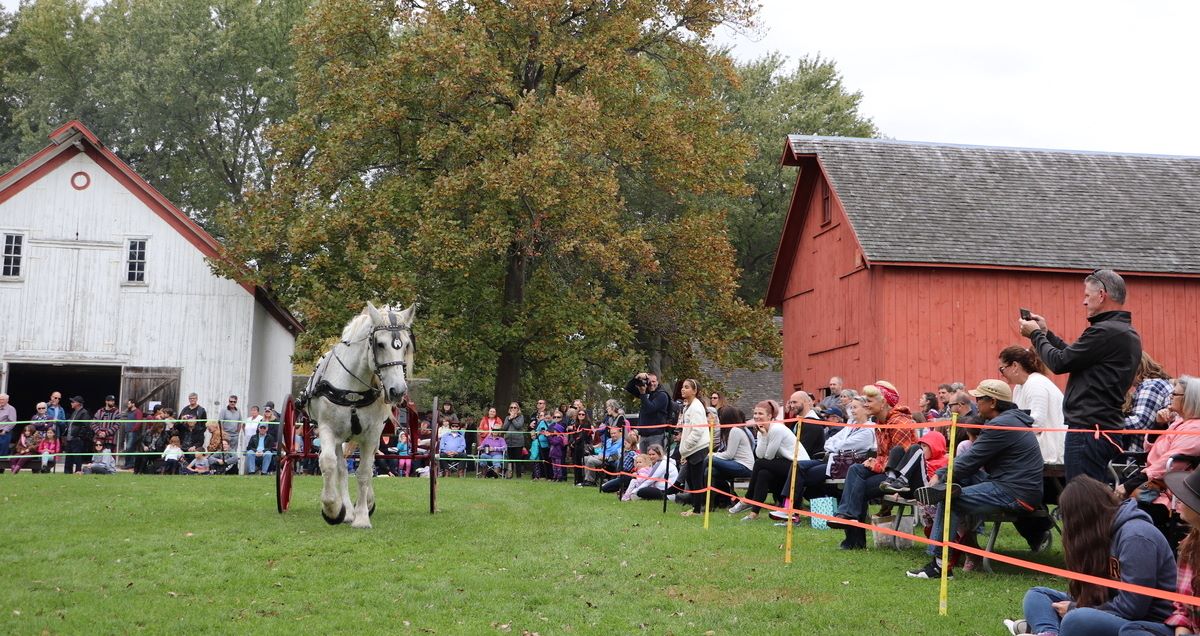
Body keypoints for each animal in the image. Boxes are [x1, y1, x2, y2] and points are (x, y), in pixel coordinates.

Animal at [299, 302, 415, 529]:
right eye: (380, 344)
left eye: (406, 345)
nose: (397, 391)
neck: (352, 389)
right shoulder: (327, 429)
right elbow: (329, 464)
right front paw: (333, 509)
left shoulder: (372, 434)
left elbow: (364, 472)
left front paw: (362, 516)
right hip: (339, 438)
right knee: (341, 469)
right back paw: (346, 510)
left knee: (367, 467)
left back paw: (366, 503)